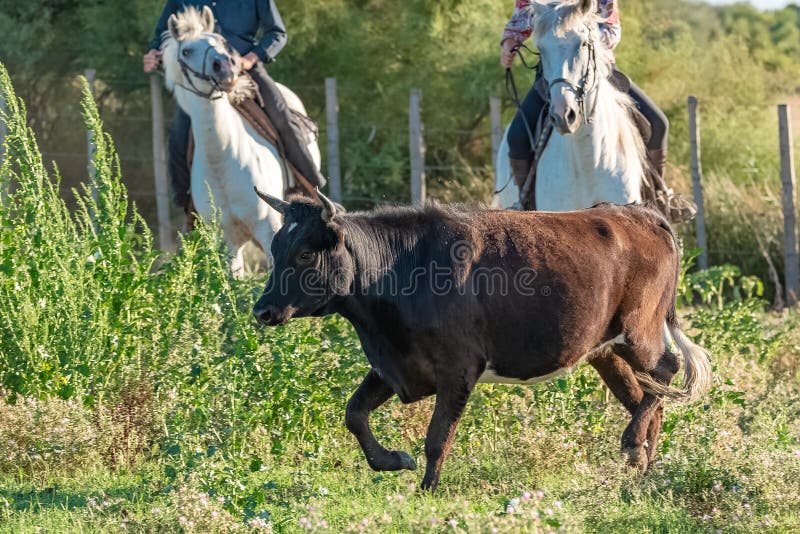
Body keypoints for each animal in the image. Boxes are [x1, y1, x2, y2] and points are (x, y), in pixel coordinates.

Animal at [252, 189, 712, 492]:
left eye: (306, 253)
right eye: (276, 248)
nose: (262, 311)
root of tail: (640, 213)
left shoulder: (458, 369)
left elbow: (437, 438)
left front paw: (427, 491)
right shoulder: (394, 364)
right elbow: (354, 413)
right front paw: (393, 460)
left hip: (639, 330)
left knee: (666, 370)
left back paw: (633, 447)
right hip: (605, 348)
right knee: (645, 399)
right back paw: (643, 465)